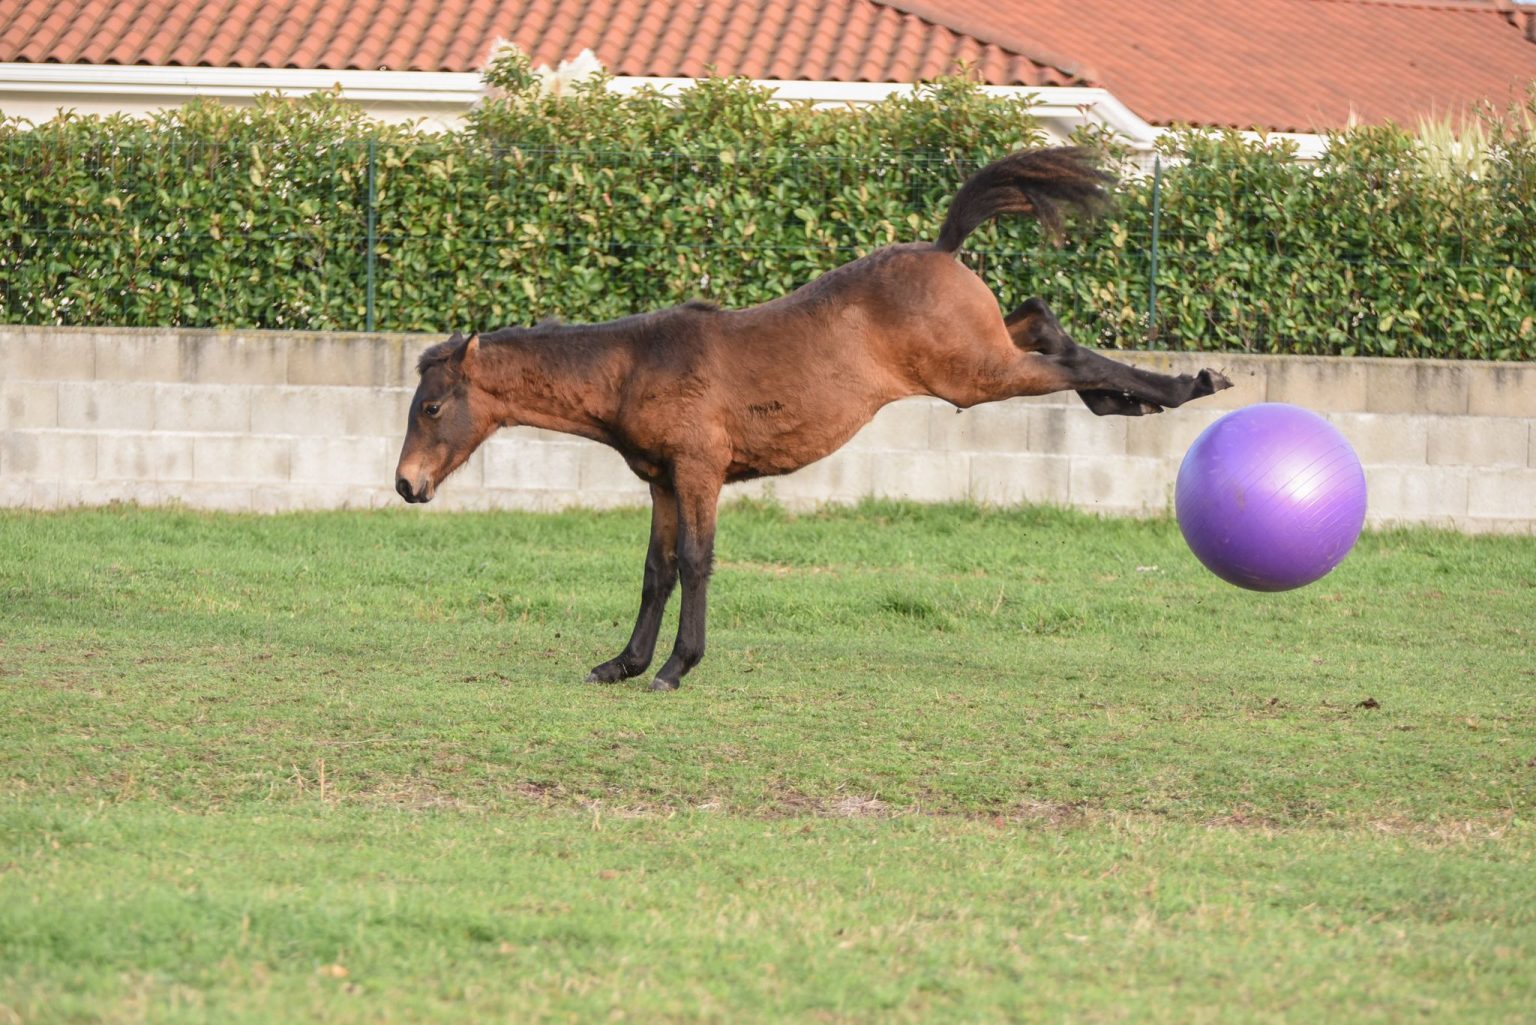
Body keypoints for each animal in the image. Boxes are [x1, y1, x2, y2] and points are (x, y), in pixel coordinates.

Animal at [395, 147, 1232, 691]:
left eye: (432, 406)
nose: (405, 484)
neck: (636, 363)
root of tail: (940, 249)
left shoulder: (700, 473)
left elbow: (695, 562)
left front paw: (673, 668)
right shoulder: (663, 481)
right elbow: (656, 570)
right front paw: (621, 663)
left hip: (975, 375)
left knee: (1070, 360)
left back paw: (1183, 383)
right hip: (985, 354)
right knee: (1043, 323)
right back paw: (1140, 394)